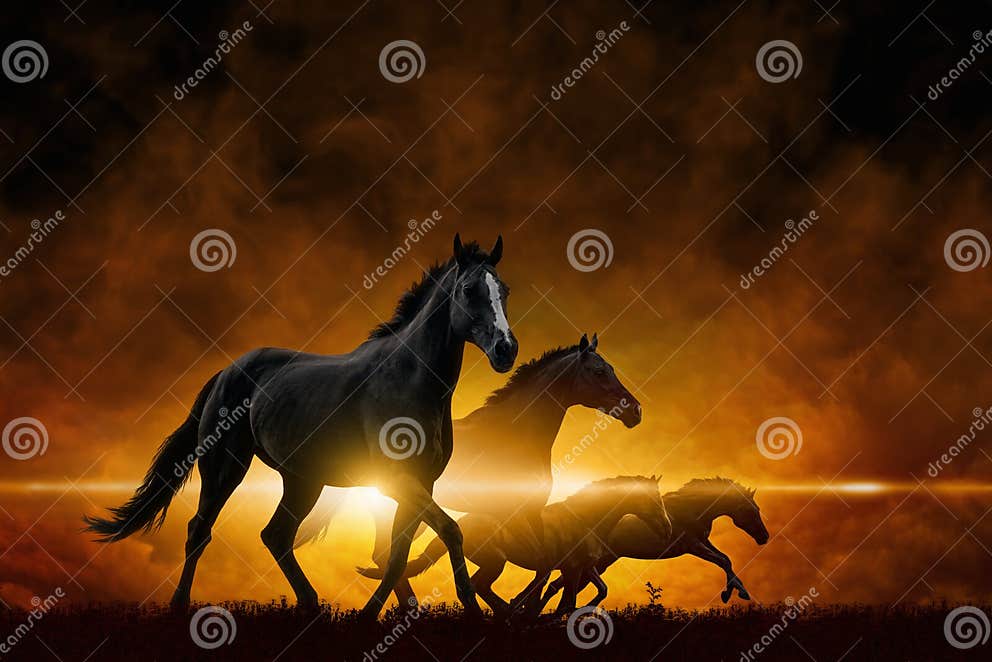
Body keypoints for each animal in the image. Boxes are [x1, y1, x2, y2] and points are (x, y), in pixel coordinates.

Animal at [83, 235, 518, 620]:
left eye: (504, 290)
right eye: (468, 290)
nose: (506, 349)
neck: (409, 380)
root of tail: (227, 372)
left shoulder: (419, 482)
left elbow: (397, 555)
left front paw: (371, 616)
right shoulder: (398, 481)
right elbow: (447, 532)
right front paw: (470, 610)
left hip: (302, 480)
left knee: (275, 535)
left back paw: (311, 604)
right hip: (225, 469)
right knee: (199, 531)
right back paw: (179, 606)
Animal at [295, 333, 642, 609]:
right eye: (598, 371)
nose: (635, 411)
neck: (515, 435)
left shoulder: (529, 511)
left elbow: (543, 564)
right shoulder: (511, 513)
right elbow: (540, 565)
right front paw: (518, 608)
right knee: (386, 554)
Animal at [356, 476, 672, 617]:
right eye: (654, 501)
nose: (668, 529)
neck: (585, 519)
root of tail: (463, 523)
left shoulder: (584, 566)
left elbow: (600, 590)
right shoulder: (571, 568)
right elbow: (567, 600)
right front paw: (546, 617)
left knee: (480, 586)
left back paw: (508, 611)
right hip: (495, 562)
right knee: (478, 585)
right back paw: (507, 613)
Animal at [539, 477, 769, 612]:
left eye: (757, 509)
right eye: (750, 510)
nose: (764, 537)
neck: (690, 509)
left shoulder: (703, 541)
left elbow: (726, 559)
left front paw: (734, 592)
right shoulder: (693, 545)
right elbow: (723, 561)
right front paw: (732, 593)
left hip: (601, 563)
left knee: (560, 586)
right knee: (561, 586)